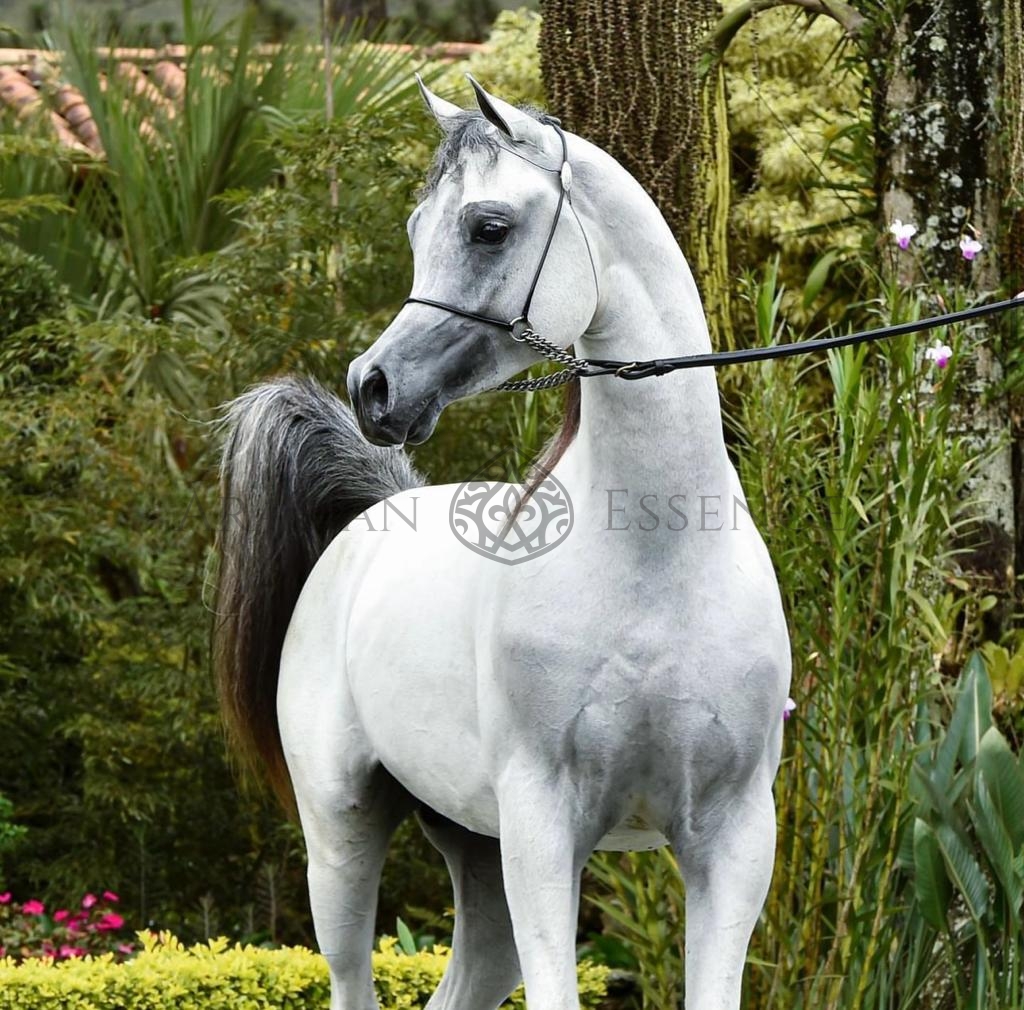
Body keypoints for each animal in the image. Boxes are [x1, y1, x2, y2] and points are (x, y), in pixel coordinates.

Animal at [215, 75, 791, 1010]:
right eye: (416, 230)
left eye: (489, 226)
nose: (374, 388)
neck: (655, 568)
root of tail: (377, 514)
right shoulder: (542, 830)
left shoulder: (735, 840)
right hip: (342, 835)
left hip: (475, 853)